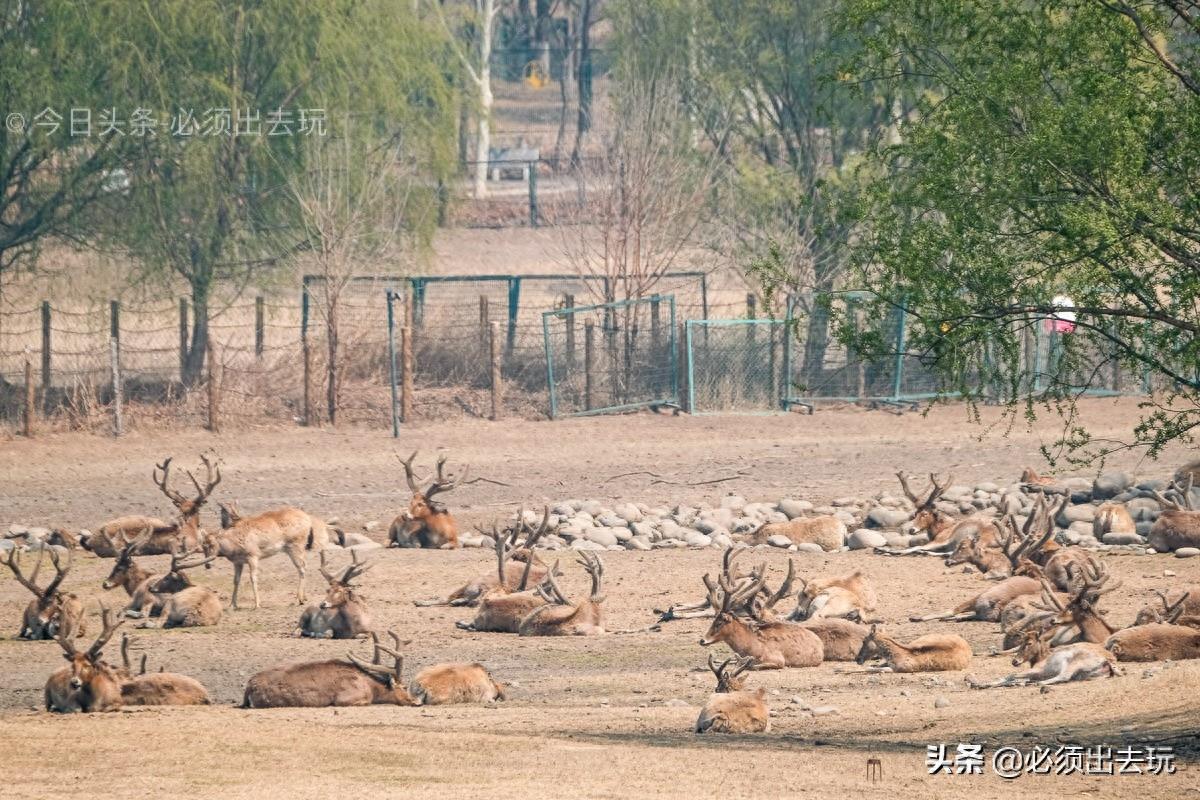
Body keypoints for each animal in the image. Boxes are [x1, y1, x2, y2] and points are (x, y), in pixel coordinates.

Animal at [202, 503, 331, 609]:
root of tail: (308, 520)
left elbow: (253, 578)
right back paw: (304, 598)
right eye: (203, 545)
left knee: (302, 568)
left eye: (212, 544)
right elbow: (236, 580)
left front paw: (257, 604)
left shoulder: (253, 556)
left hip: (295, 547)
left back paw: (299, 600)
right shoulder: (238, 562)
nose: (208, 565)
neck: (233, 541)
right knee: (304, 566)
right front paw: (232, 605)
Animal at [964, 628, 1123, 686]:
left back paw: (1036, 684)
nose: (1015, 661)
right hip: (1086, 675)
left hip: (1073, 665)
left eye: (1029, 643)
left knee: (1063, 676)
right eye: (1020, 641)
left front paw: (980, 684)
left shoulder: (1039, 671)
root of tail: (1108, 660)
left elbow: (1011, 676)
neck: (1043, 658)